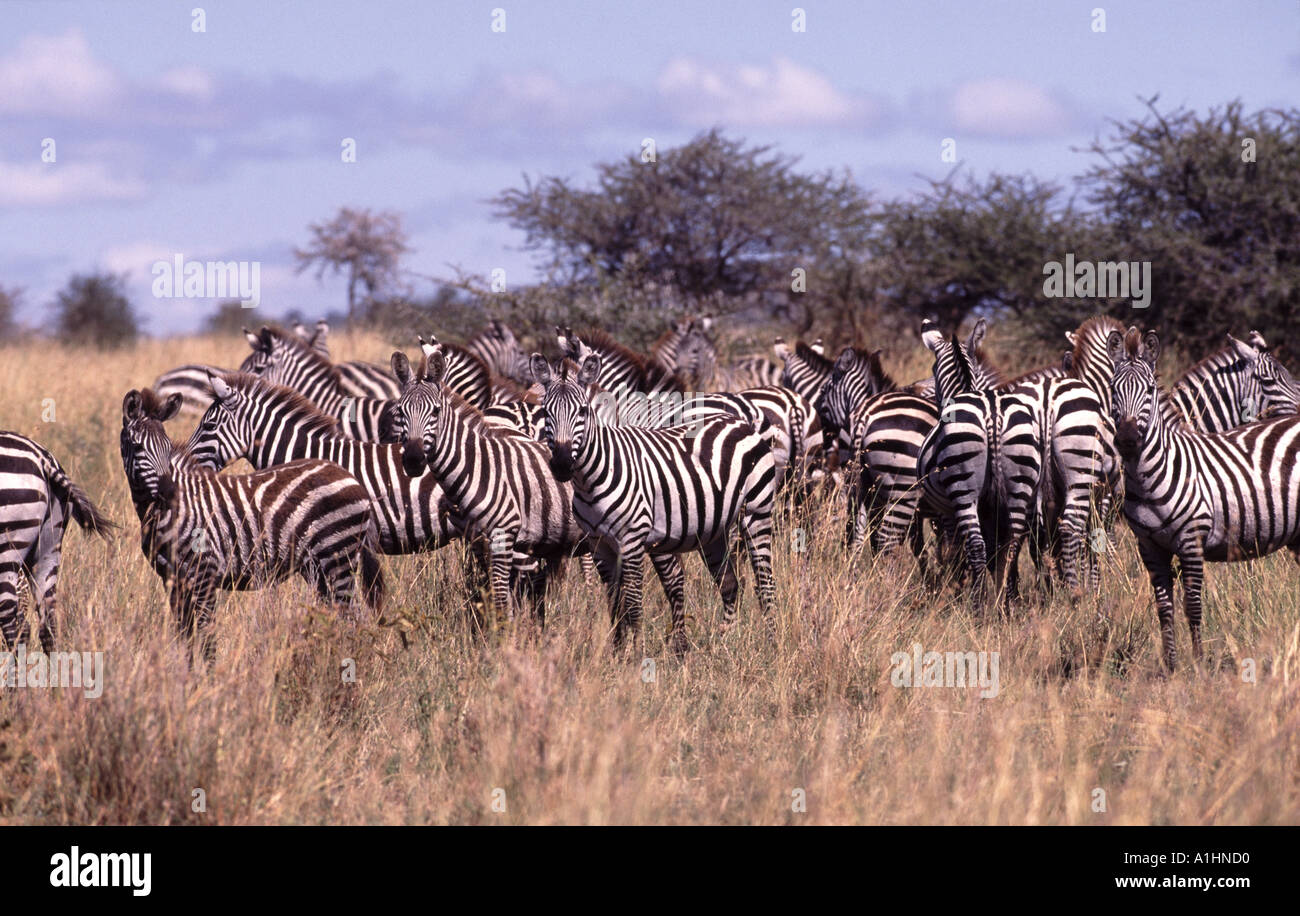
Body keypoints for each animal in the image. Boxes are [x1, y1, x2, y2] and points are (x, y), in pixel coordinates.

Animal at [120, 388, 384, 661]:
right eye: (137, 447)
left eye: (167, 447)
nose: (170, 493)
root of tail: (349, 477)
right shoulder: (172, 580)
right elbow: (186, 636)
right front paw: (188, 670)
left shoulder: (204, 574)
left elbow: (206, 635)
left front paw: (207, 671)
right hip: (319, 567)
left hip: (337, 558)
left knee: (353, 616)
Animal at [531, 351, 779, 650]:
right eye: (546, 413)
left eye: (582, 411)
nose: (562, 464)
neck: (591, 478)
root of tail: (741, 420)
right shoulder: (599, 544)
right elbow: (614, 603)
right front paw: (617, 652)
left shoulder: (632, 539)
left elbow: (634, 603)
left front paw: (637, 652)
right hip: (713, 529)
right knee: (730, 585)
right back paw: (723, 642)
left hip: (756, 510)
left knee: (764, 581)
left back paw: (770, 643)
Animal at [1108, 327, 1300, 671]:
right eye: (1113, 391)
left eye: (1149, 391)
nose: (1127, 441)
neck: (1148, 475)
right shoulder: (1149, 547)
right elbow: (1164, 608)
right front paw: (1171, 666)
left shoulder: (1191, 540)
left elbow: (1193, 605)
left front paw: (1198, 666)